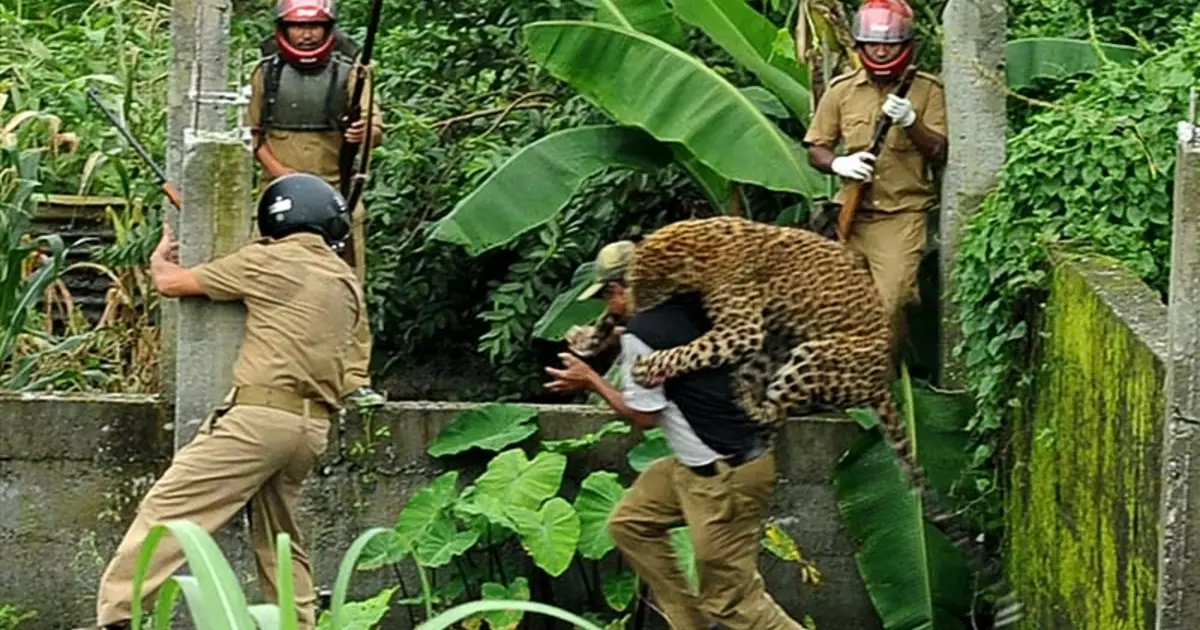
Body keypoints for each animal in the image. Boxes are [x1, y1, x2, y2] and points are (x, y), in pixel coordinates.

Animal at [590, 214, 1022, 624]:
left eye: (645, 289)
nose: (634, 309)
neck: (700, 243)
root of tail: (881, 383)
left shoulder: (741, 331)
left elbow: (694, 350)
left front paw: (648, 365)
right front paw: (595, 338)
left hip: (814, 353)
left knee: (775, 408)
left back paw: (749, 403)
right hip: (778, 342)